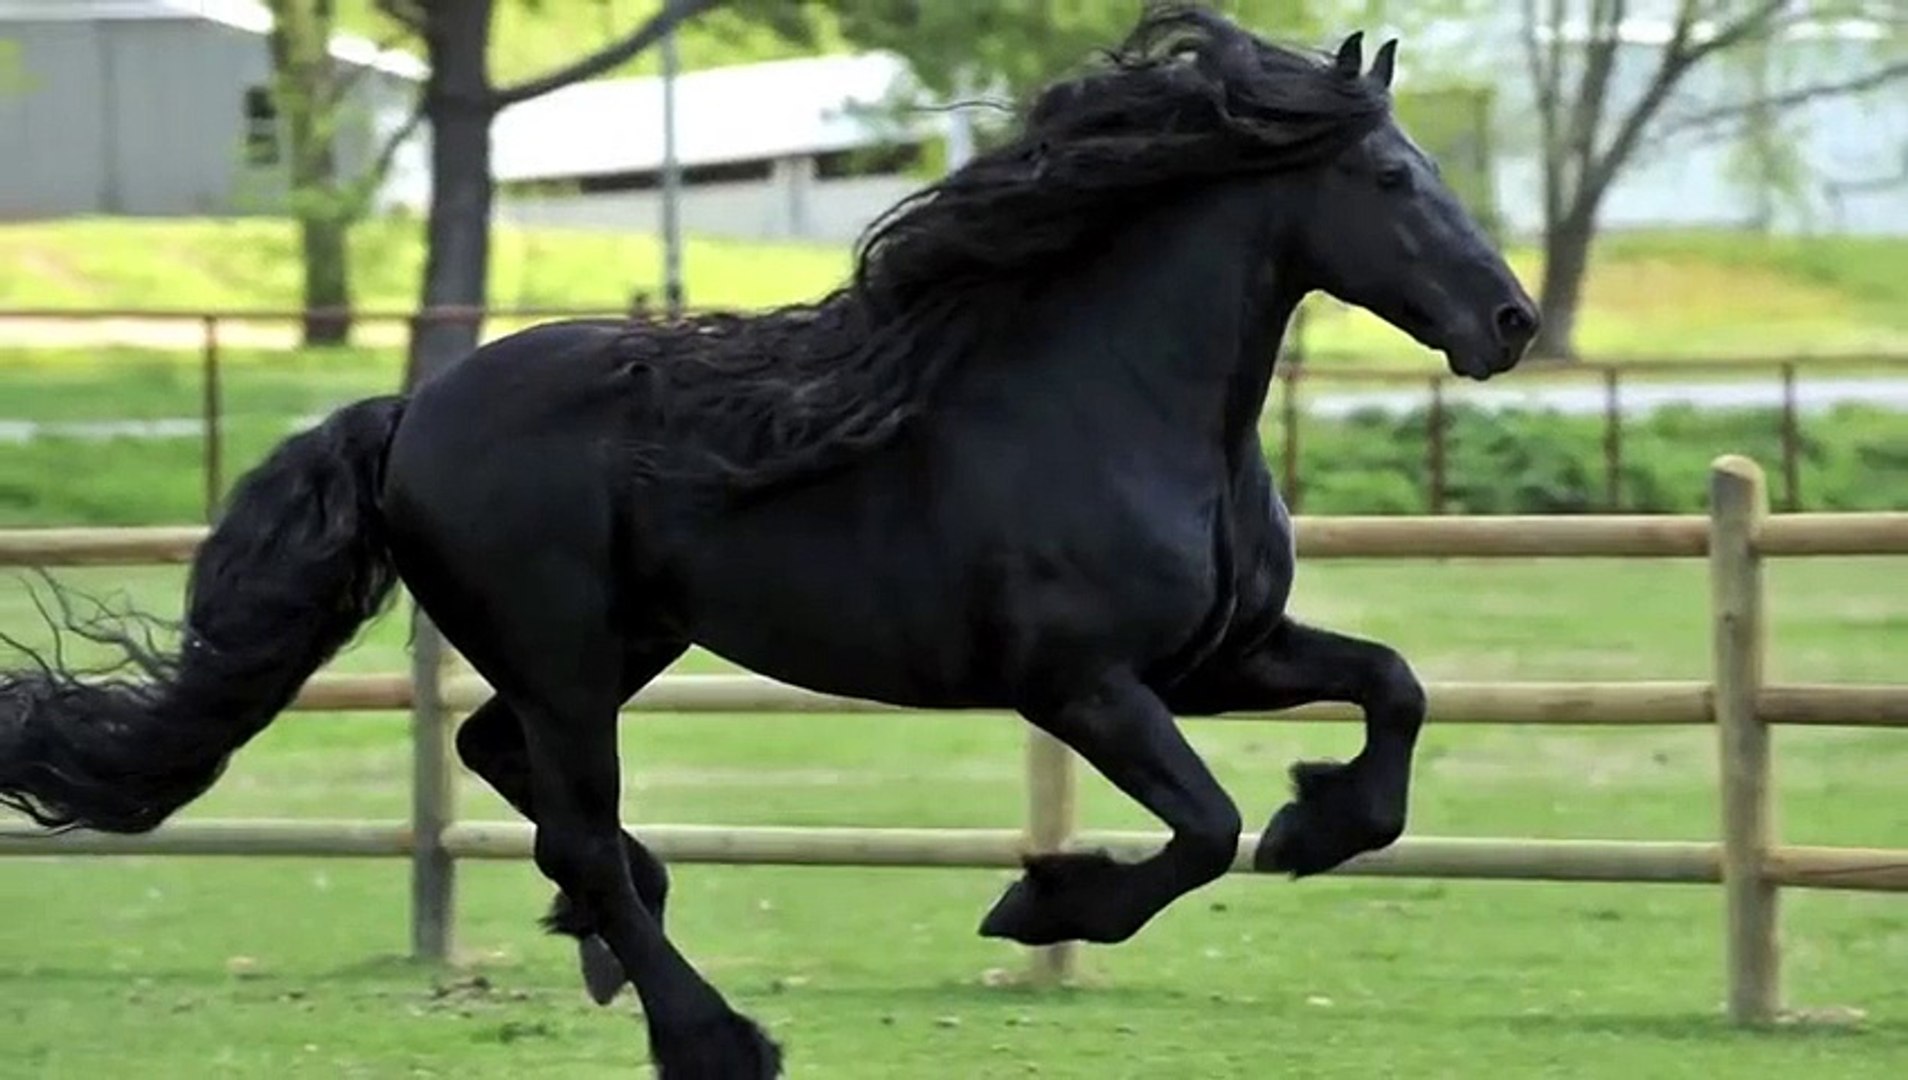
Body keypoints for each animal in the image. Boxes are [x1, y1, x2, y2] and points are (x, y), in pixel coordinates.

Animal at [0, 7, 1536, 1076]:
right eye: (1391, 176)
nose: (1512, 322)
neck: (1118, 404)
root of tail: (411, 410)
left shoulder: (1220, 657)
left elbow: (1393, 689)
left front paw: (1319, 824)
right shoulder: (1084, 684)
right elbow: (1205, 828)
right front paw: (1041, 906)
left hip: (612, 648)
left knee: (513, 774)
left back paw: (615, 953)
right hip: (569, 661)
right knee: (579, 832)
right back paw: (711, 1036)